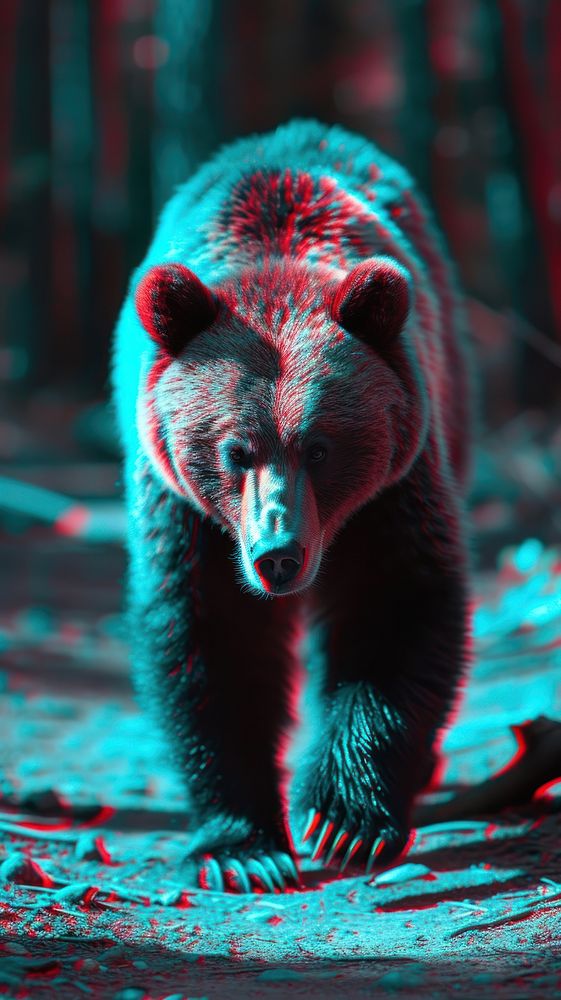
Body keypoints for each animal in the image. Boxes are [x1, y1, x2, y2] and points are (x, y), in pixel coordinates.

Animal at [112, 119, 472, 894]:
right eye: (233, 449)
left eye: (322, 447)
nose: (278, 554)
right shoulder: (185, 514)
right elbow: (209, 638)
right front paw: (243, 849)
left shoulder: (392, 490)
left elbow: (395, 605)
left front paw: (344, 820)